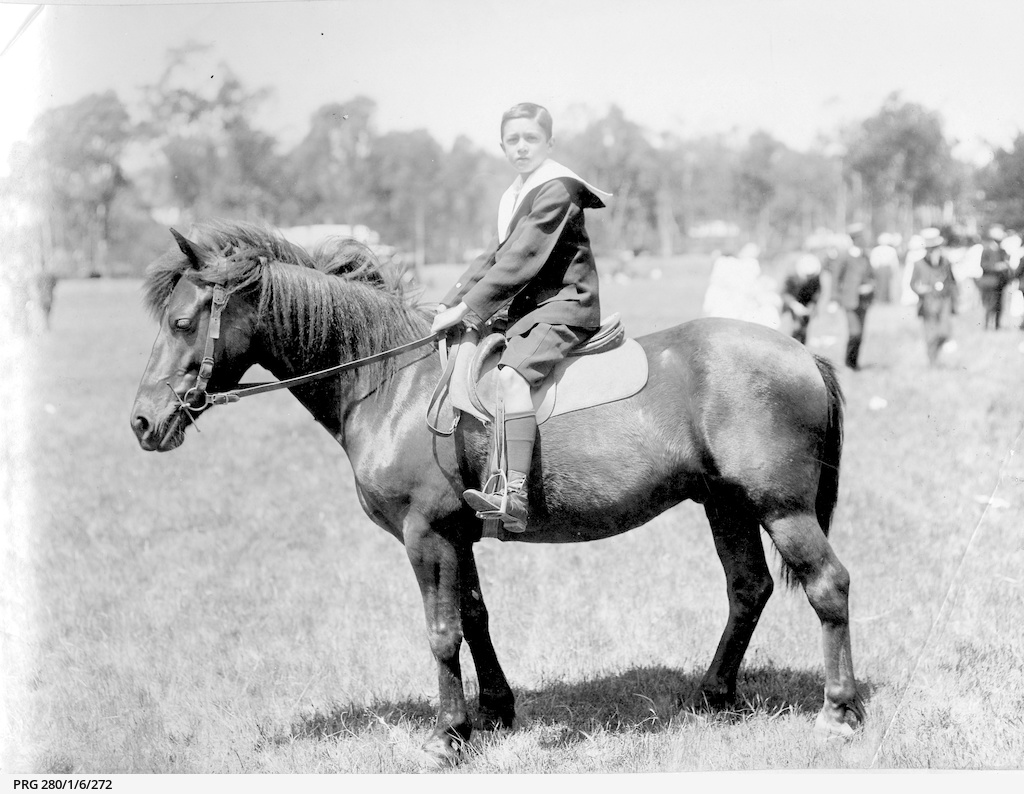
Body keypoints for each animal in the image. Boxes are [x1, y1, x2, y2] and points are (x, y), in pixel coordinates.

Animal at [130, 220, 864, 765]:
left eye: (183, 322)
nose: (142, 422)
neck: (394, 383)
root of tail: (802, 354)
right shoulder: (456, 534)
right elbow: (476, 617)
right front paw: (494, 711)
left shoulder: (425, 534)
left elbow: (441, 632)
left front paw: (449, 735)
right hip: (726, 504)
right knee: (748, 589)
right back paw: (715, 695)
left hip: (781, 509)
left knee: (828, 586)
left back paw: (839, 711)